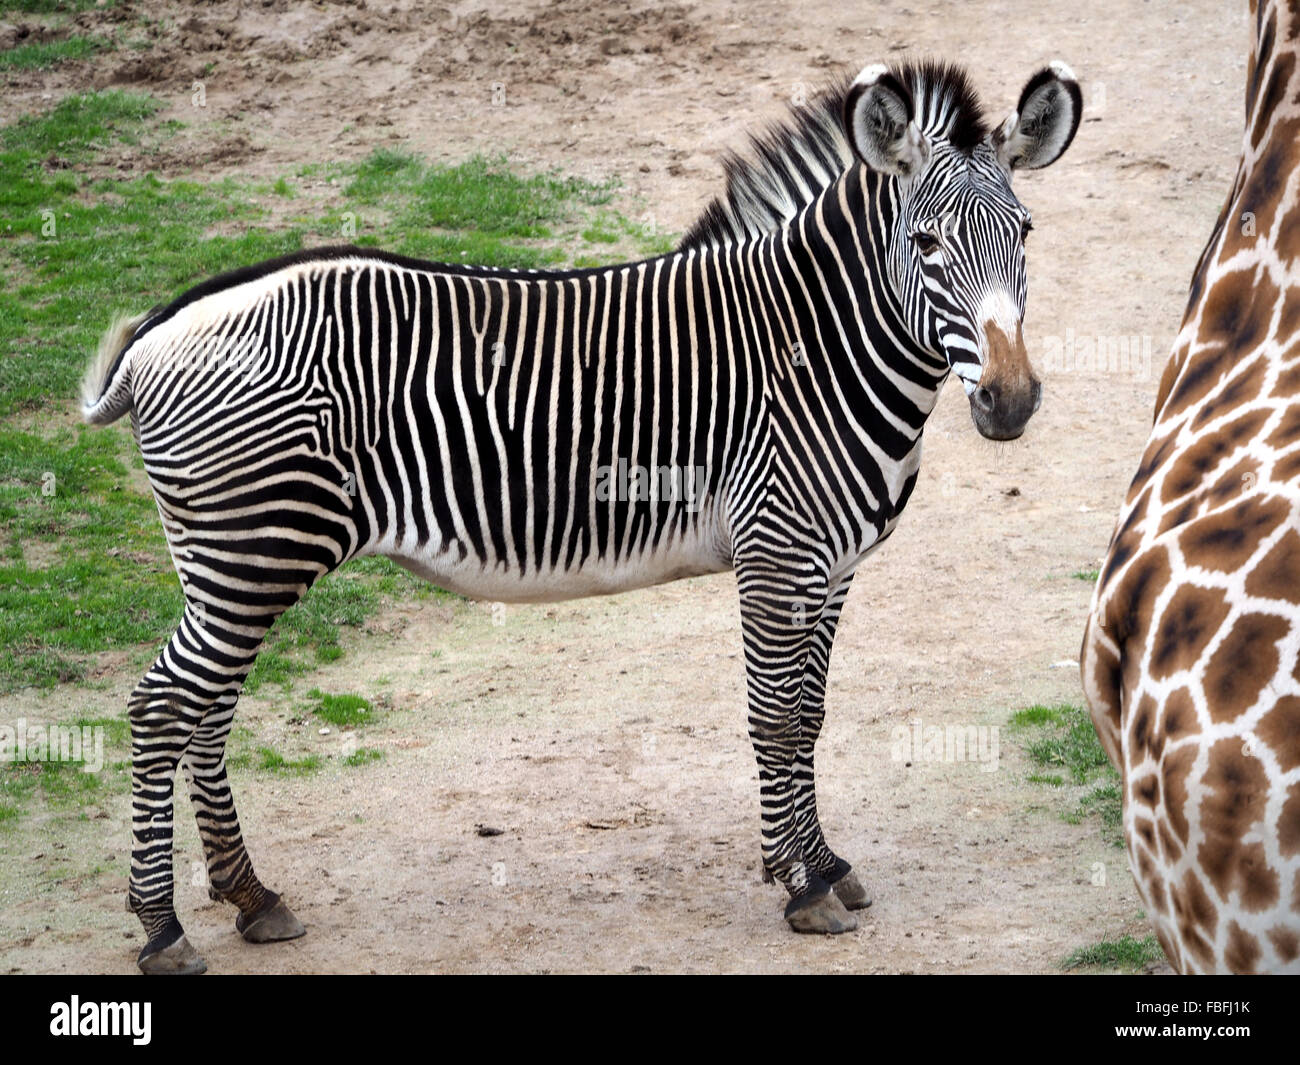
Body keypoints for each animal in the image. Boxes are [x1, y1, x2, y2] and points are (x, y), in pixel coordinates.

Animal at [81, 59, 1081, 973]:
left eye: (1026, 234)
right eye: (926, 242)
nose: (1010, 403)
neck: (819, 349)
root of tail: (157, 333)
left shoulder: (830, 567)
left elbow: (811, 712)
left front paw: (827, 863)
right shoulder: (778, 556)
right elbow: (774, 716)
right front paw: (801, 887)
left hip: (233, 564)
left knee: (205, 710)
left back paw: (251, 896)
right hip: (255, 551)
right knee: (161, 705)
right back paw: (164, 928)